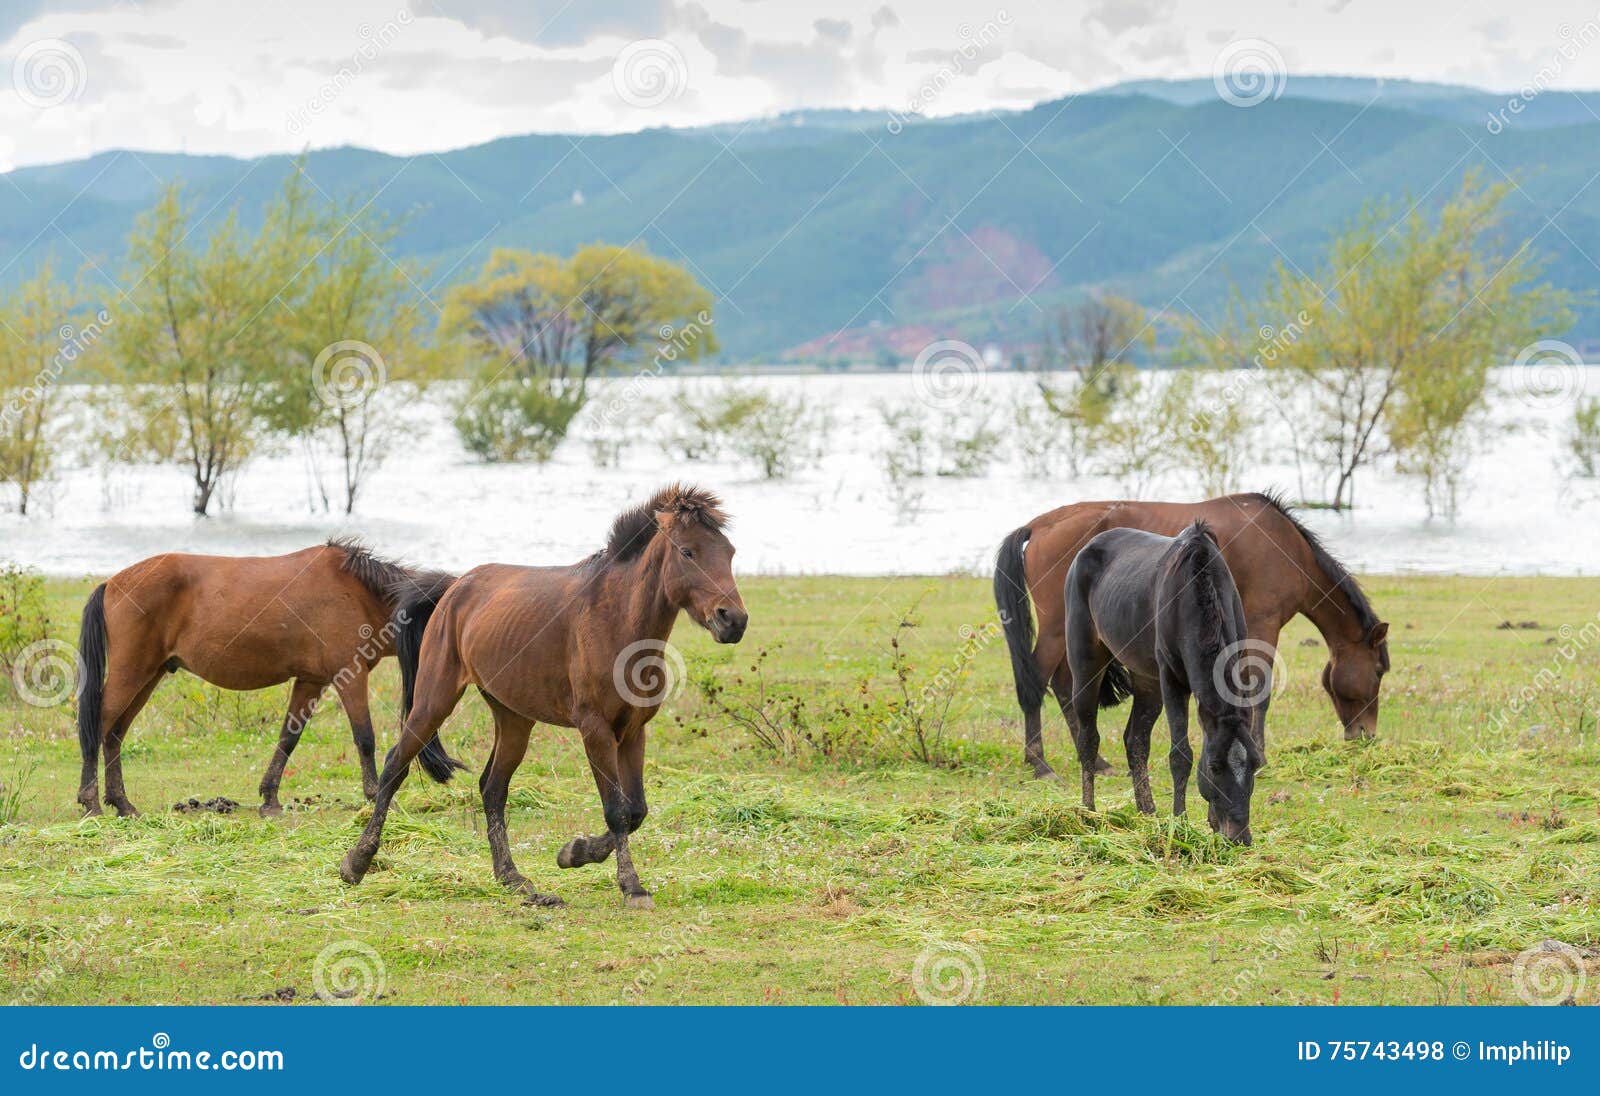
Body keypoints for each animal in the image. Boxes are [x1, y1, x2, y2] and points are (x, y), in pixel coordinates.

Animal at [74, 539, 466, 818]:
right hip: (132, 672)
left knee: (114, 732)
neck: (357, 591)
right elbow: (365, 738)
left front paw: (270, 799)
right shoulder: (349, 678)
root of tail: (112, 583)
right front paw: (375, 796)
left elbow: (288, 738)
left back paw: (122, 804)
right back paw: (92, 802)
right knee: (99, 726)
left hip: (148, 676)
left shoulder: (310, 682)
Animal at [339, 484, 749, 909]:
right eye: (688, 552)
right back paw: (356, 862)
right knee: (395, 766)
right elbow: (617, 810)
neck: (616, 620)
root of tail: (455, 587)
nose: (733, 620)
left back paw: (512, 878)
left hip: (514, 719)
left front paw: (575, 853)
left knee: (492, 787)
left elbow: (635, 810)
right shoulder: (596, 730)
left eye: (730, 552)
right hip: (433, 701)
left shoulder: (634, 730)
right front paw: (631, 887)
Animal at [995, 491, 1389, 777]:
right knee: (1037, 682)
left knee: (1064, 687)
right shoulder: (1264, 625)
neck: (1288, 550)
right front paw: (1260, 758)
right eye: (1379, 671)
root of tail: (1038, 526)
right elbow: (1260, 694)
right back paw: (1040, 763)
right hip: (1058, 629)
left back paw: (1097, 761)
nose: (1365, 734)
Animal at [1064, 522, 1264, 843]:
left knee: (1136, 740)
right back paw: (1089, 811)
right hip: (1086, 665)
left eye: (1256, 764)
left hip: (1146, 680)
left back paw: (1147, 811)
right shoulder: (1172, 680)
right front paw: (1180, 823)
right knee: (1088, 739)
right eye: (1214, 766)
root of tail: (1087, 547)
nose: (1239, 837)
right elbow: (1181, 756)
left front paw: (1208, 821)